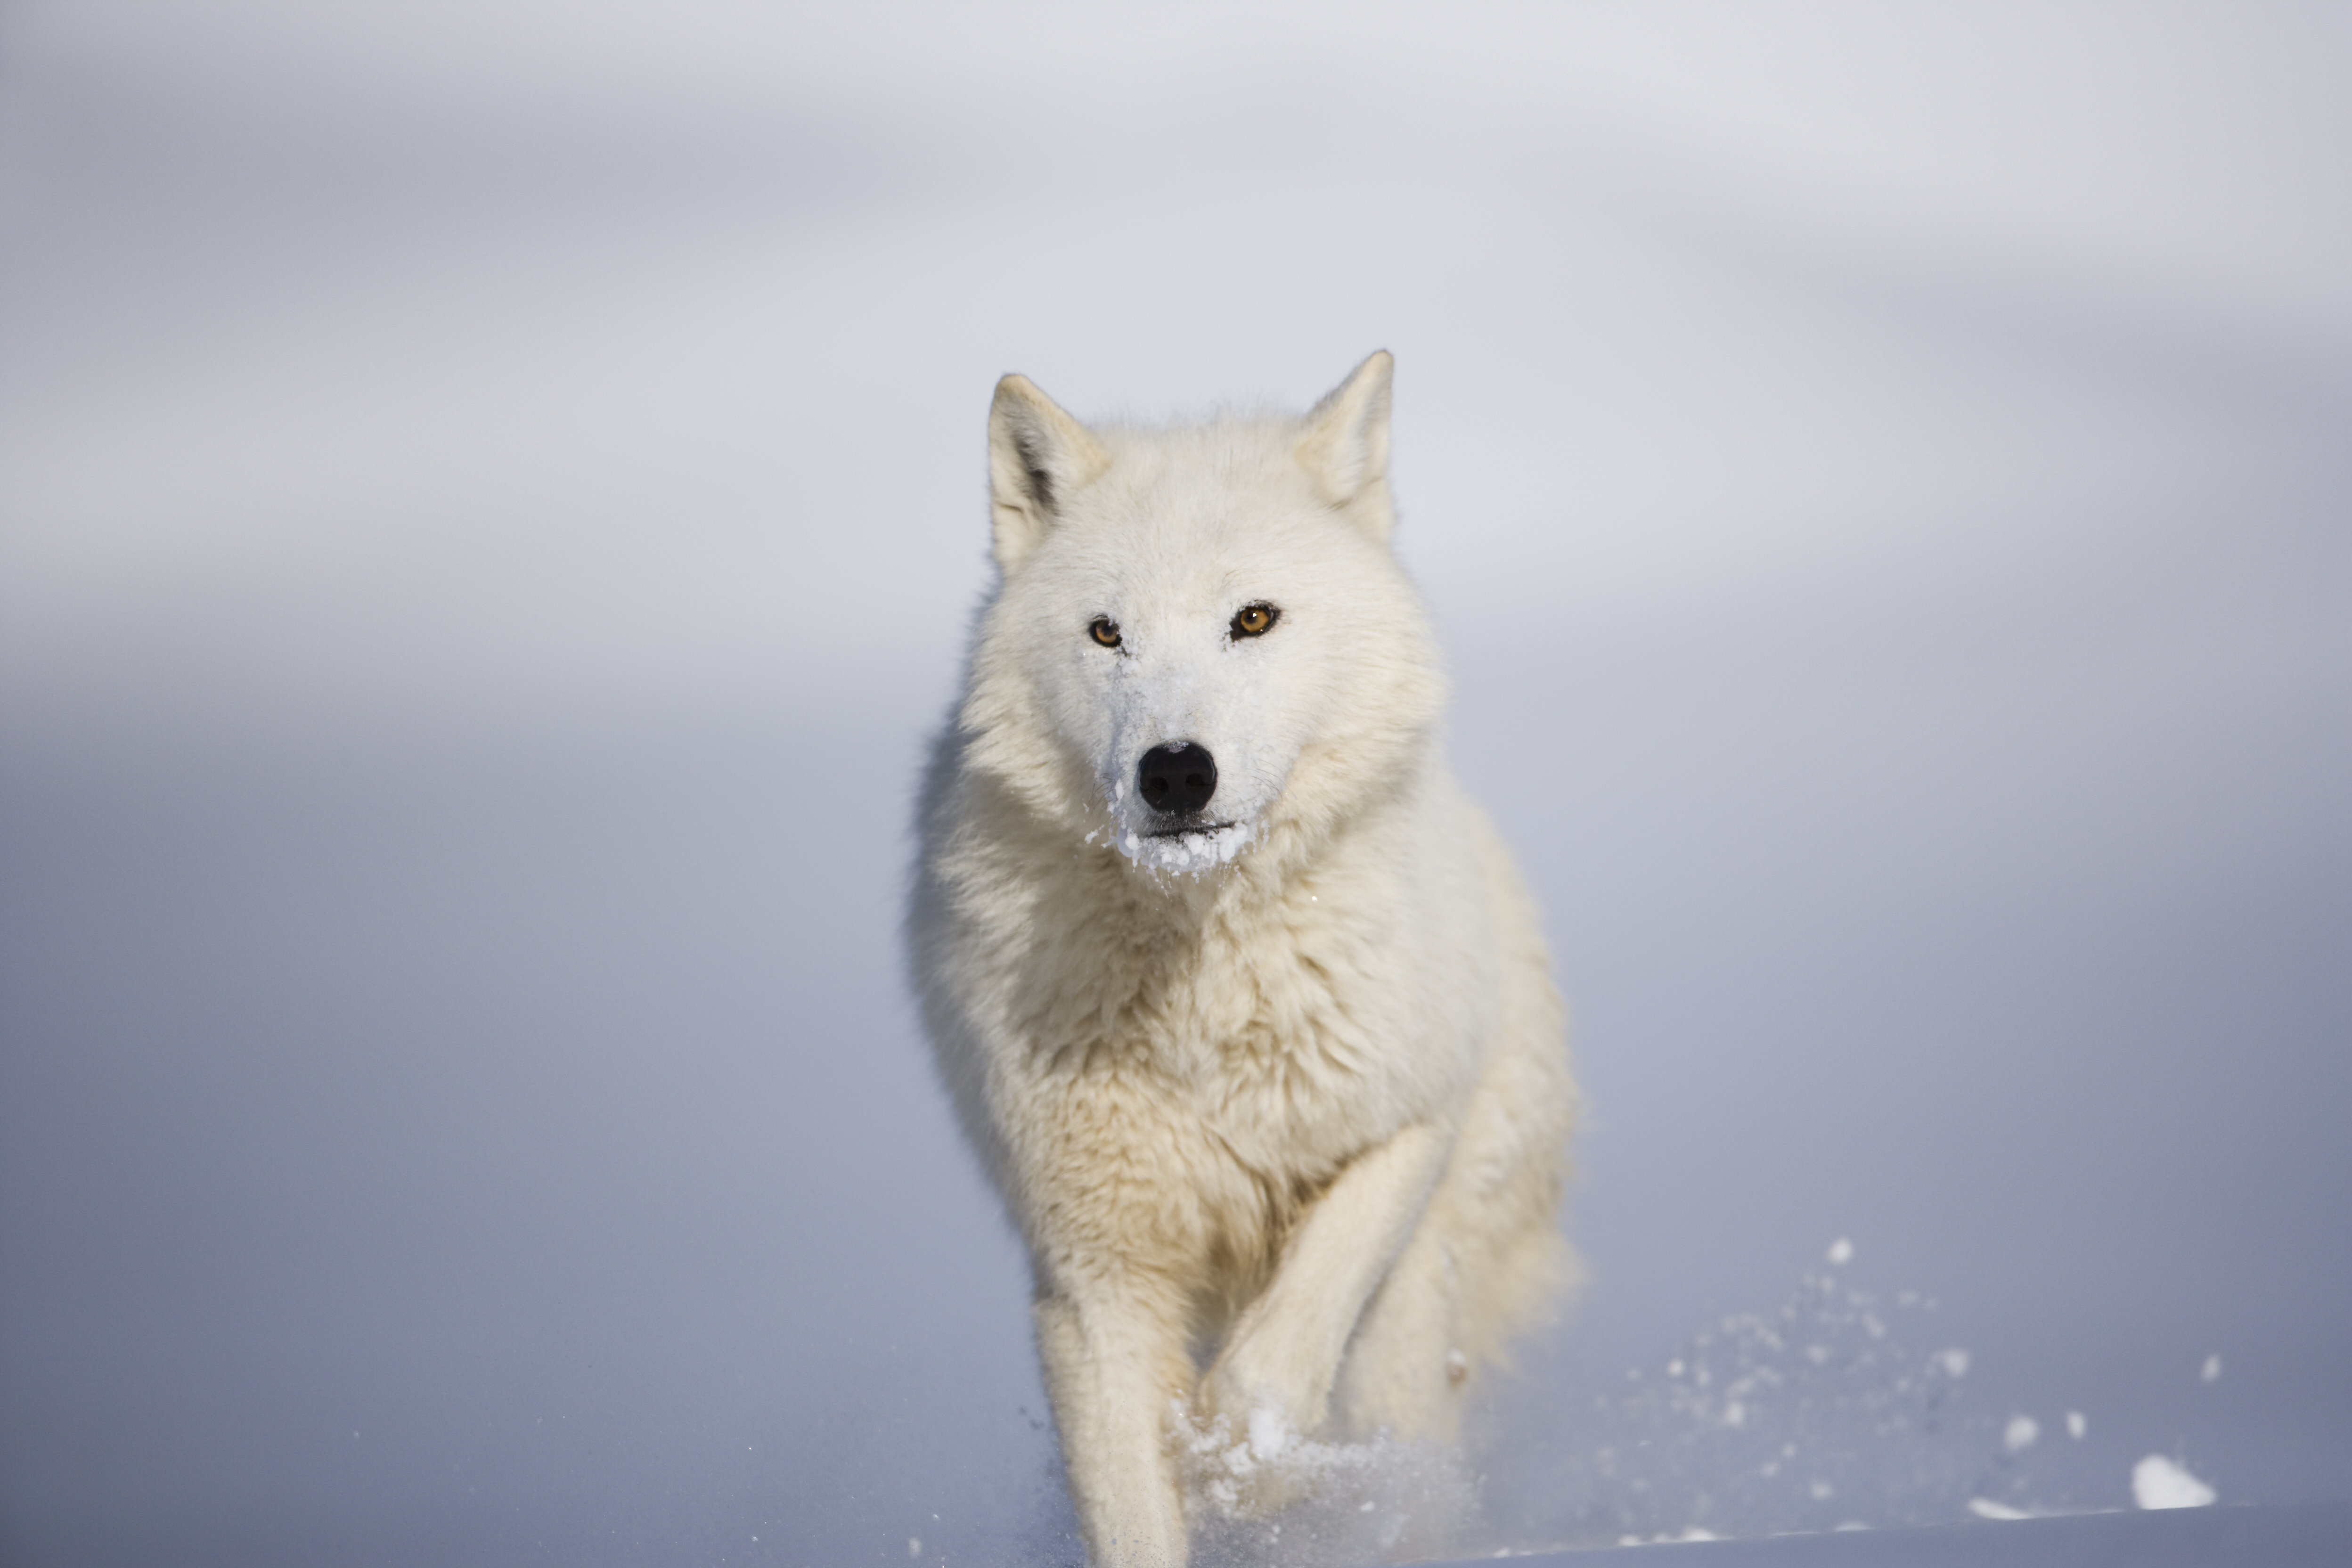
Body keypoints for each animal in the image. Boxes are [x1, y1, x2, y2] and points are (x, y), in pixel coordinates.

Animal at [907, 353, 1578, 1567]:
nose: (1175, 772)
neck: (1204, 982)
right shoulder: (1090, 1277)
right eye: (1107, 634)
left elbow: (1279, 1356)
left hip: (1415, 1314)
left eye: (1252, 619)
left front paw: (1246, 1465)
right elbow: (1132, 1515)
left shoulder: (1407, 1121)